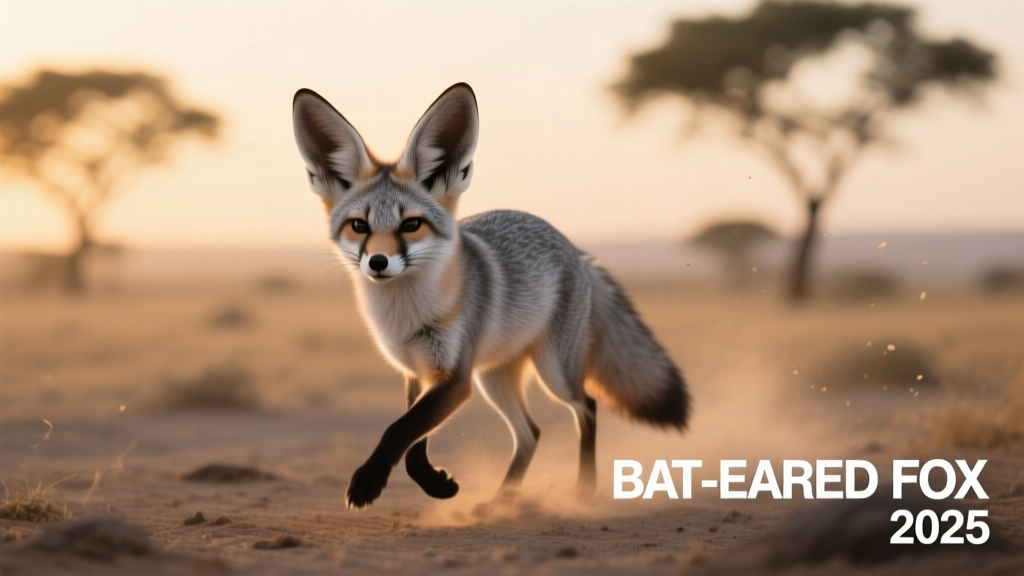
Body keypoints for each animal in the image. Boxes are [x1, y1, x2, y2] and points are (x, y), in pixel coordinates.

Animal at [291, 83, 689, 509]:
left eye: (411, 225)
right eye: (359, 226)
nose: (378, 262)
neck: (406, 315)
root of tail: (571, 245)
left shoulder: (455, 377)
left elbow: (400, 430)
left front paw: (369, 481)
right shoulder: (419, 373)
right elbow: (414, 442)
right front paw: (437, 484)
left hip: (553, 372)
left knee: (587, 408)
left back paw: (581, 489)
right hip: (496, 378)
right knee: (531, 433)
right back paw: (501, 501)